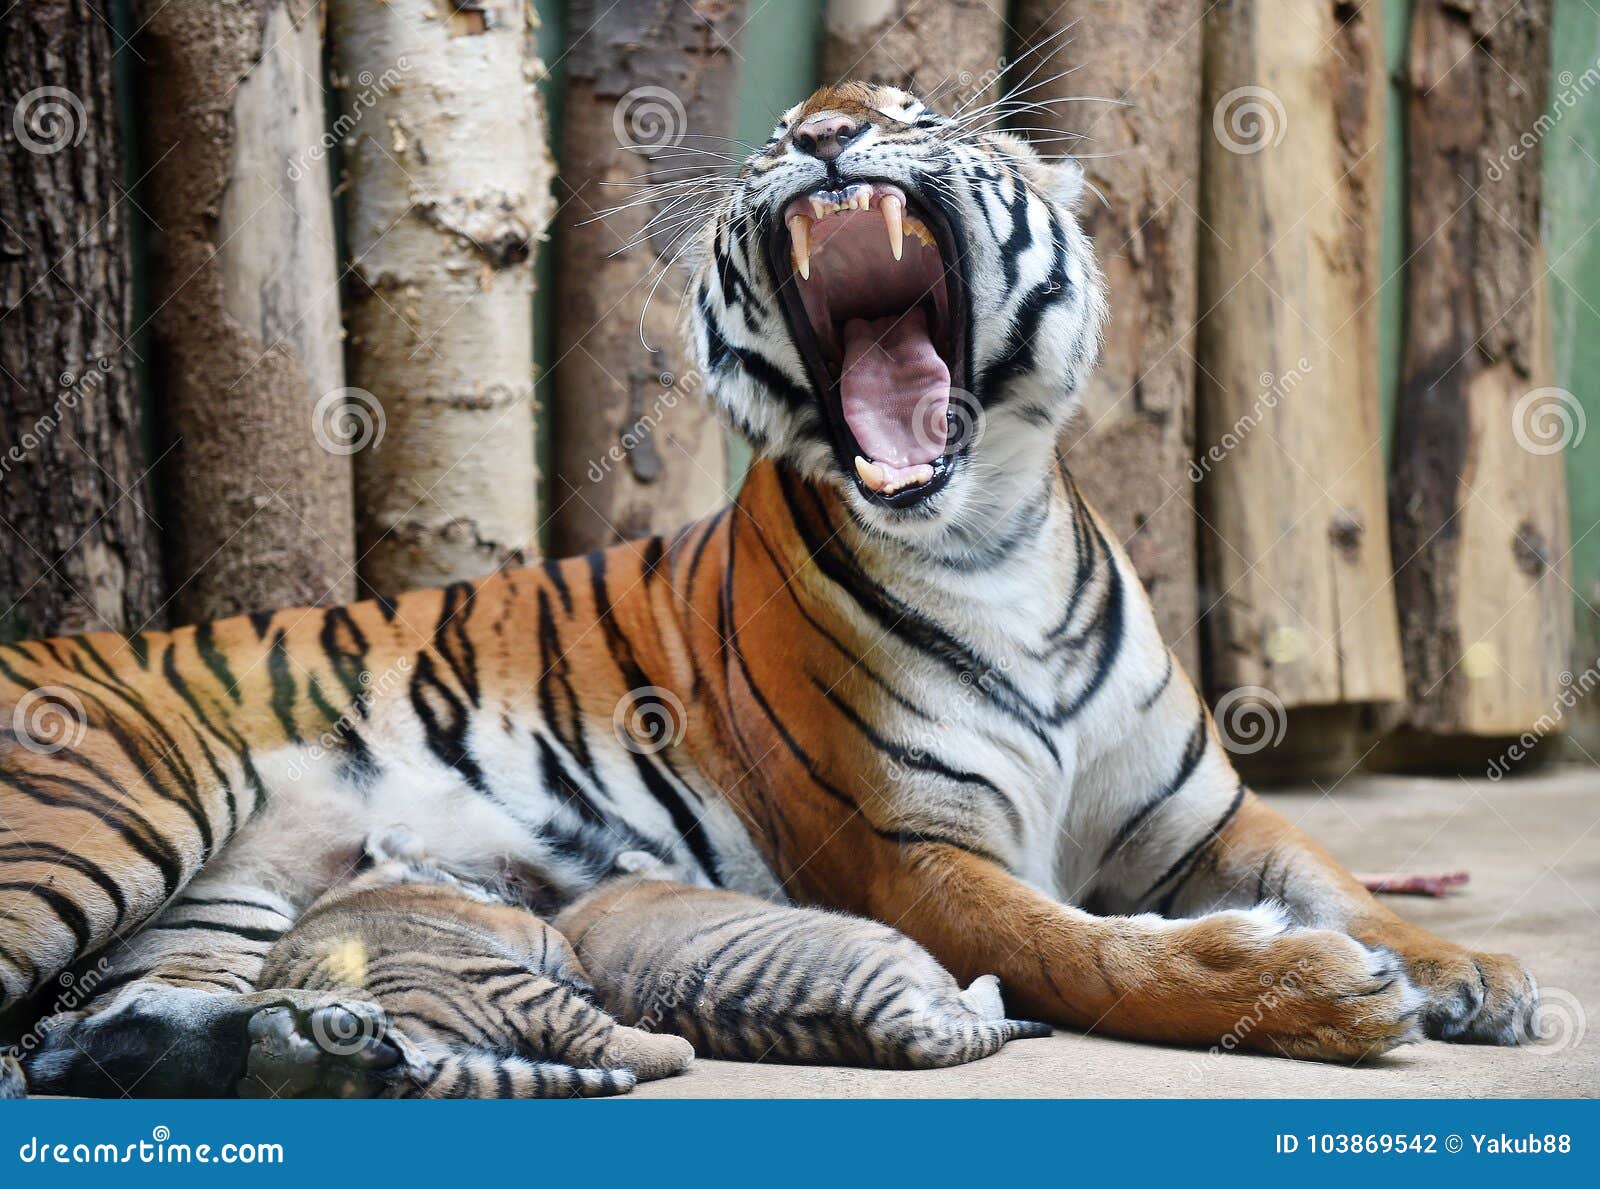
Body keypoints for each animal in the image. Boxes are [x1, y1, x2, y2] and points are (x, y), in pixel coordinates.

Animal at [243, 828, 692, 1099]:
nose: (507, 883)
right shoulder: (533, 930)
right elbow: (567, 955)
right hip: (501, 978)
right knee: (595, 1039)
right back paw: (675, 1049)